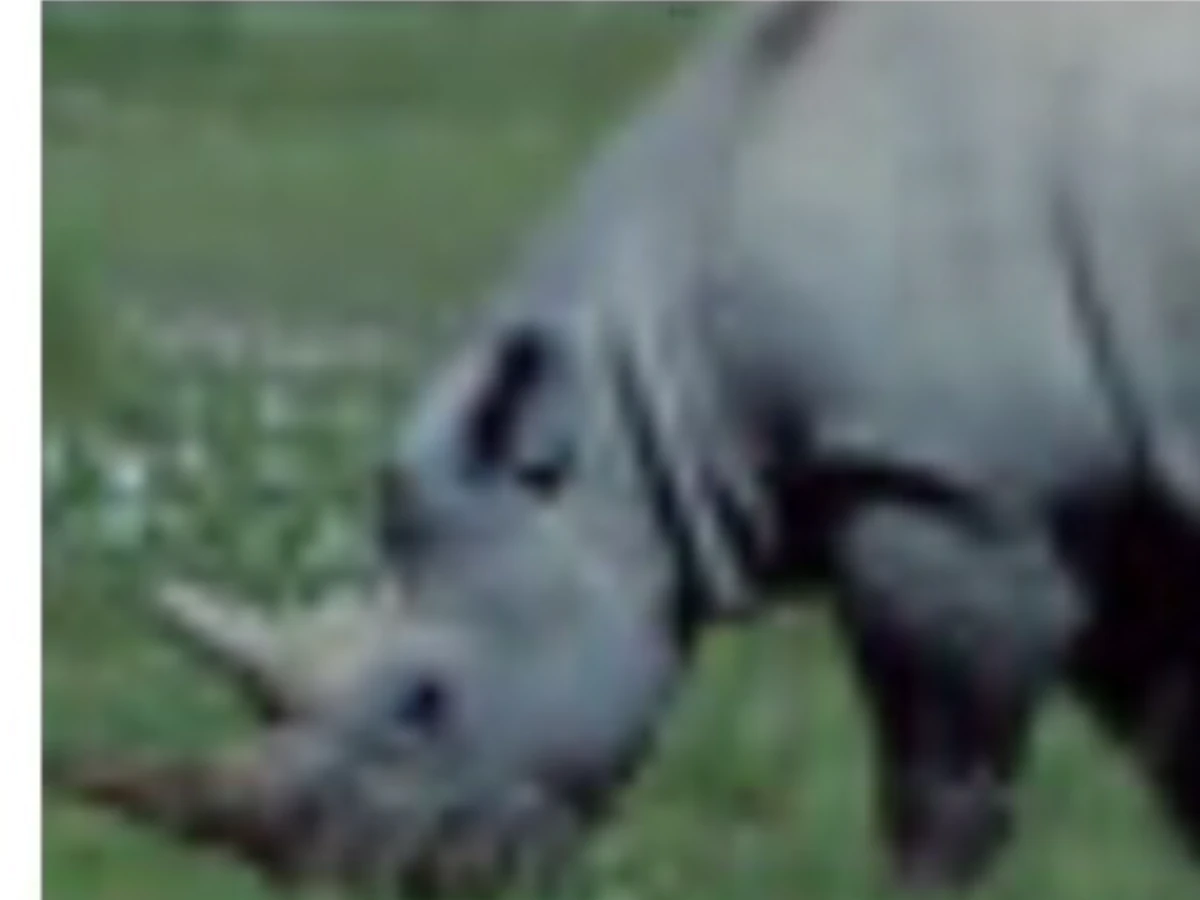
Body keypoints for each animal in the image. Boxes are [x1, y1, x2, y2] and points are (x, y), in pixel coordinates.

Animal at [48, 2, 1200, 895]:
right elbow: (1176, 758)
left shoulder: (951, 484)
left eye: (427, 704)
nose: (355, 882)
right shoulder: (1103, 502)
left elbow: (943, 795)